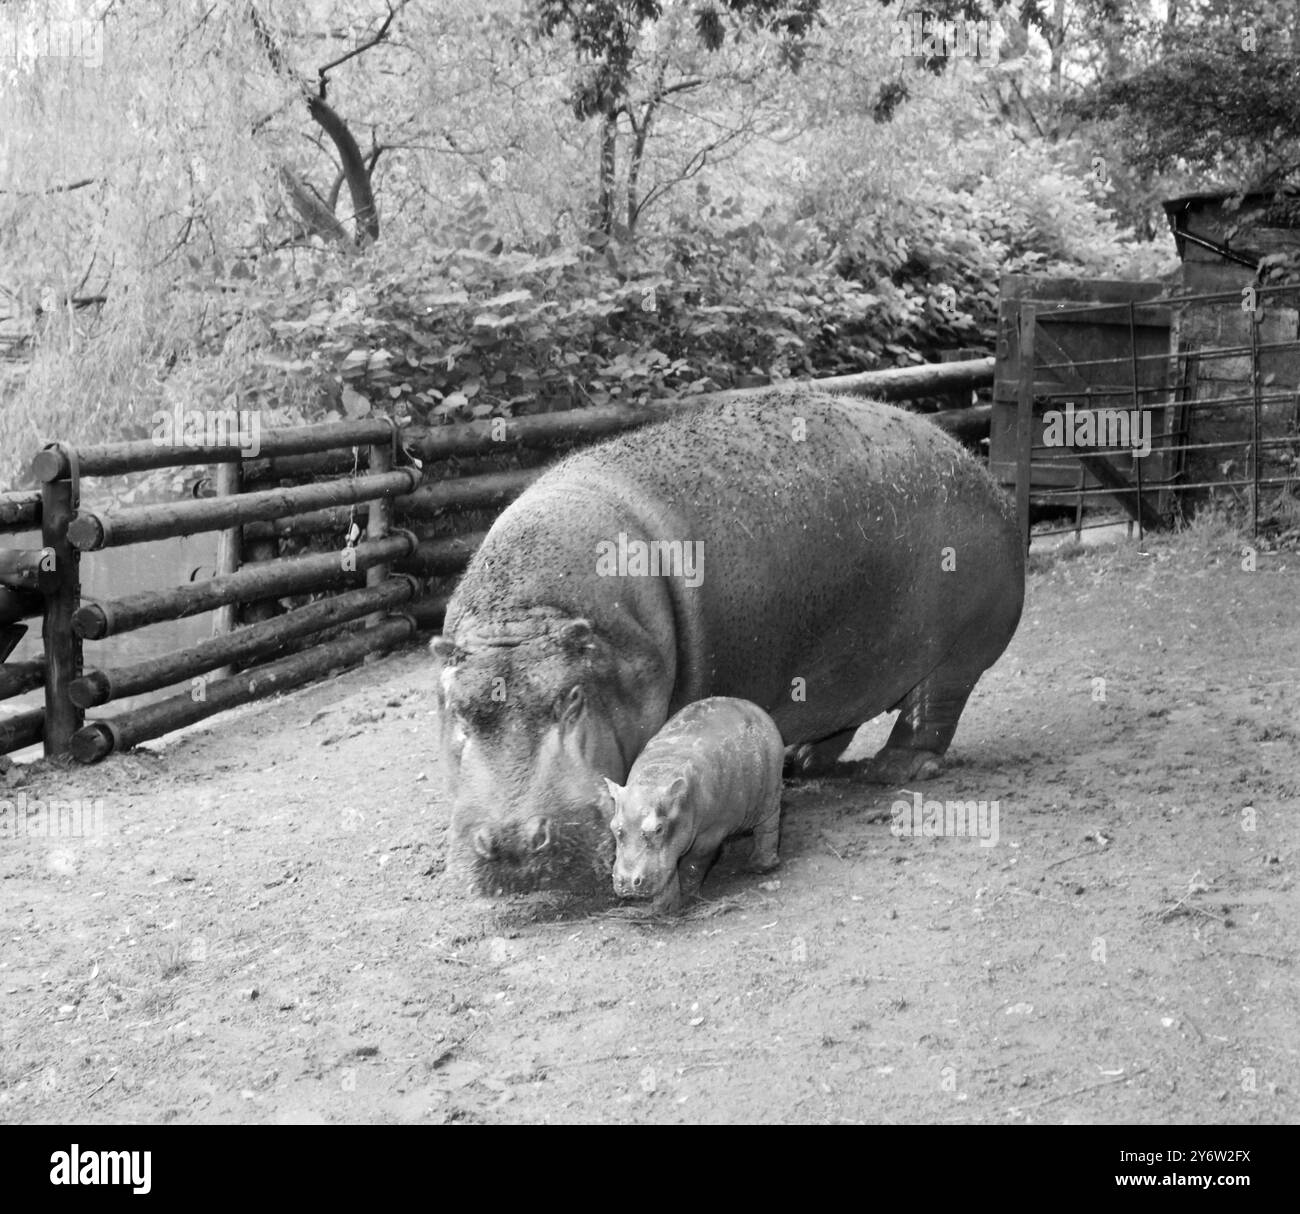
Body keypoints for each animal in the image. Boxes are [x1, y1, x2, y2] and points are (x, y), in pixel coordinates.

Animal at [604, 696, 784, 915]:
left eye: (658, 828)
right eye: (614, 827)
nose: (628, 882)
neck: (656, 776)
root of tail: (752, 706)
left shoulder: (710, 833)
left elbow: (694, 865)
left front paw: (688, 899)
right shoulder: (669, 850)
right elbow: (667, 874)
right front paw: (664, 909)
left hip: (771, 789)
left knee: (768, 827)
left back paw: (761, 866)